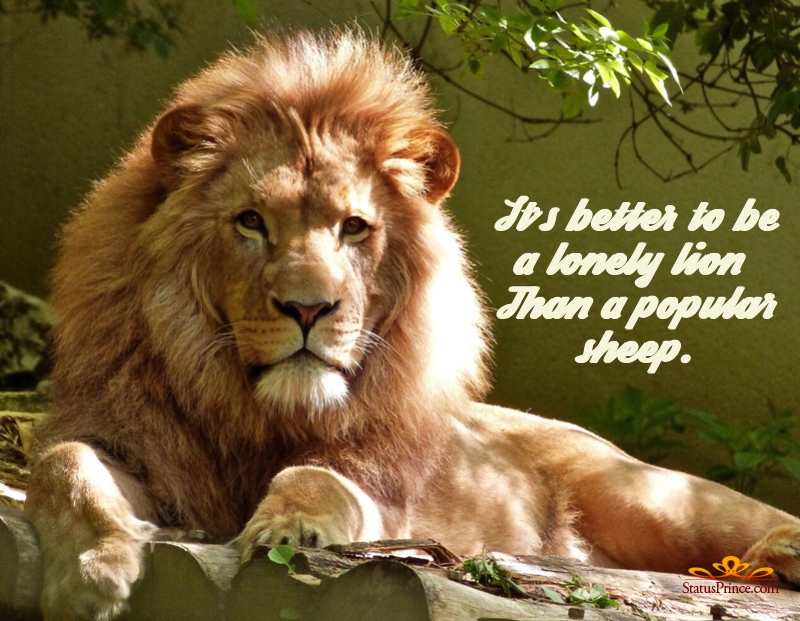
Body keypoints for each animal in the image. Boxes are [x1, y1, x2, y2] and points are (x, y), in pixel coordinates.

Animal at [24, 29, 800, 621]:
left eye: (353, 227)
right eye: (250, 221)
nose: (309, 308)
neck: (256, 411)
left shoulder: (383, 497)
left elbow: (318, 477)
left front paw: (289, 524)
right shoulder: (133, 441)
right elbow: (63, 465)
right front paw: (94, 568)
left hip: (645, 494)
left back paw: (780, 553)